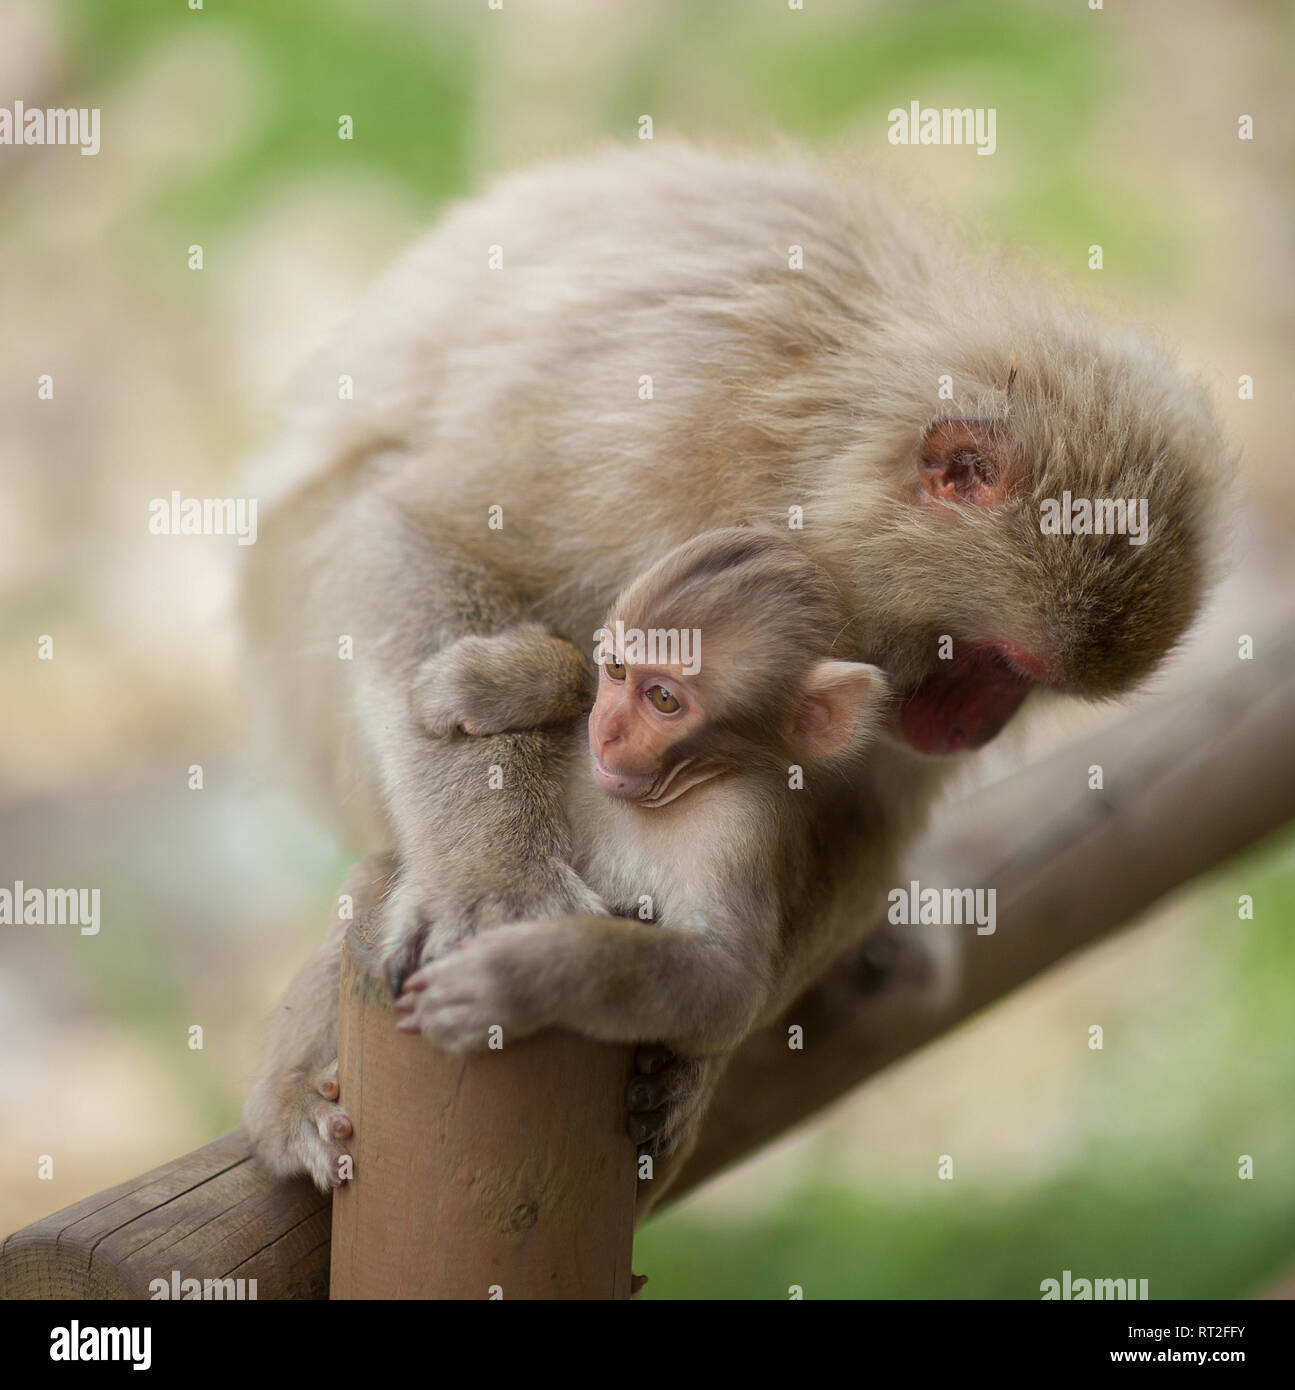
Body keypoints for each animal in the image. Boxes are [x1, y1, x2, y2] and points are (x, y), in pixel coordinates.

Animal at [390, 527, 887, 1174]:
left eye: (664, 700)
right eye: (619, 668)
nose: (608, 732)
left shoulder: (743, 825)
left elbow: (726, 980)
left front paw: (517, 976)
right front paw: (497, 681)